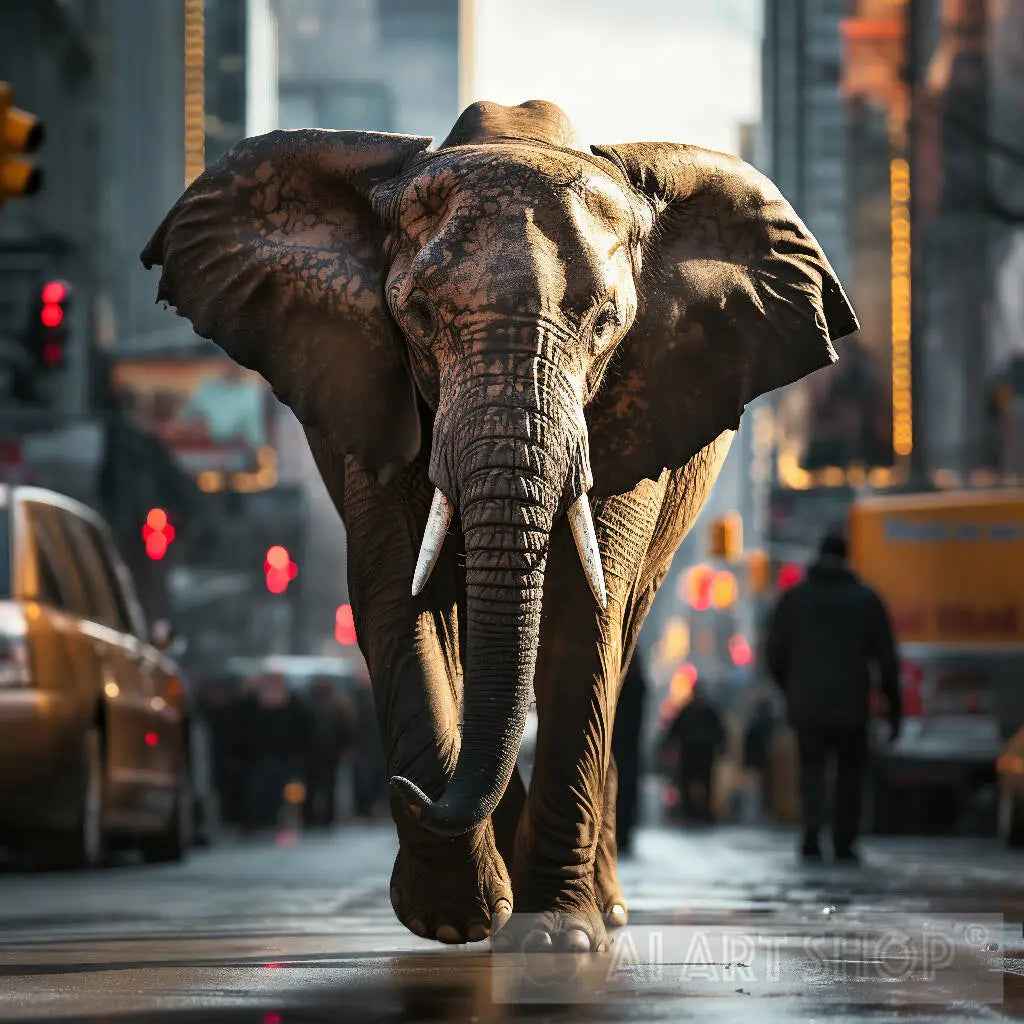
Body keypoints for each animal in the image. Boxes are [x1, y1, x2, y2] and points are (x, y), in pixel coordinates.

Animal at [141, 100, 857, 953]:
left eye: (606, 323)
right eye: (416, 316)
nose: (403, 789)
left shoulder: (633, 408)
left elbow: (585, 615)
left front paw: (557, 935)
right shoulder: (372, 399)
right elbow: (397, 596)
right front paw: (455, 919)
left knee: (621, 641)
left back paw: (603, 906)